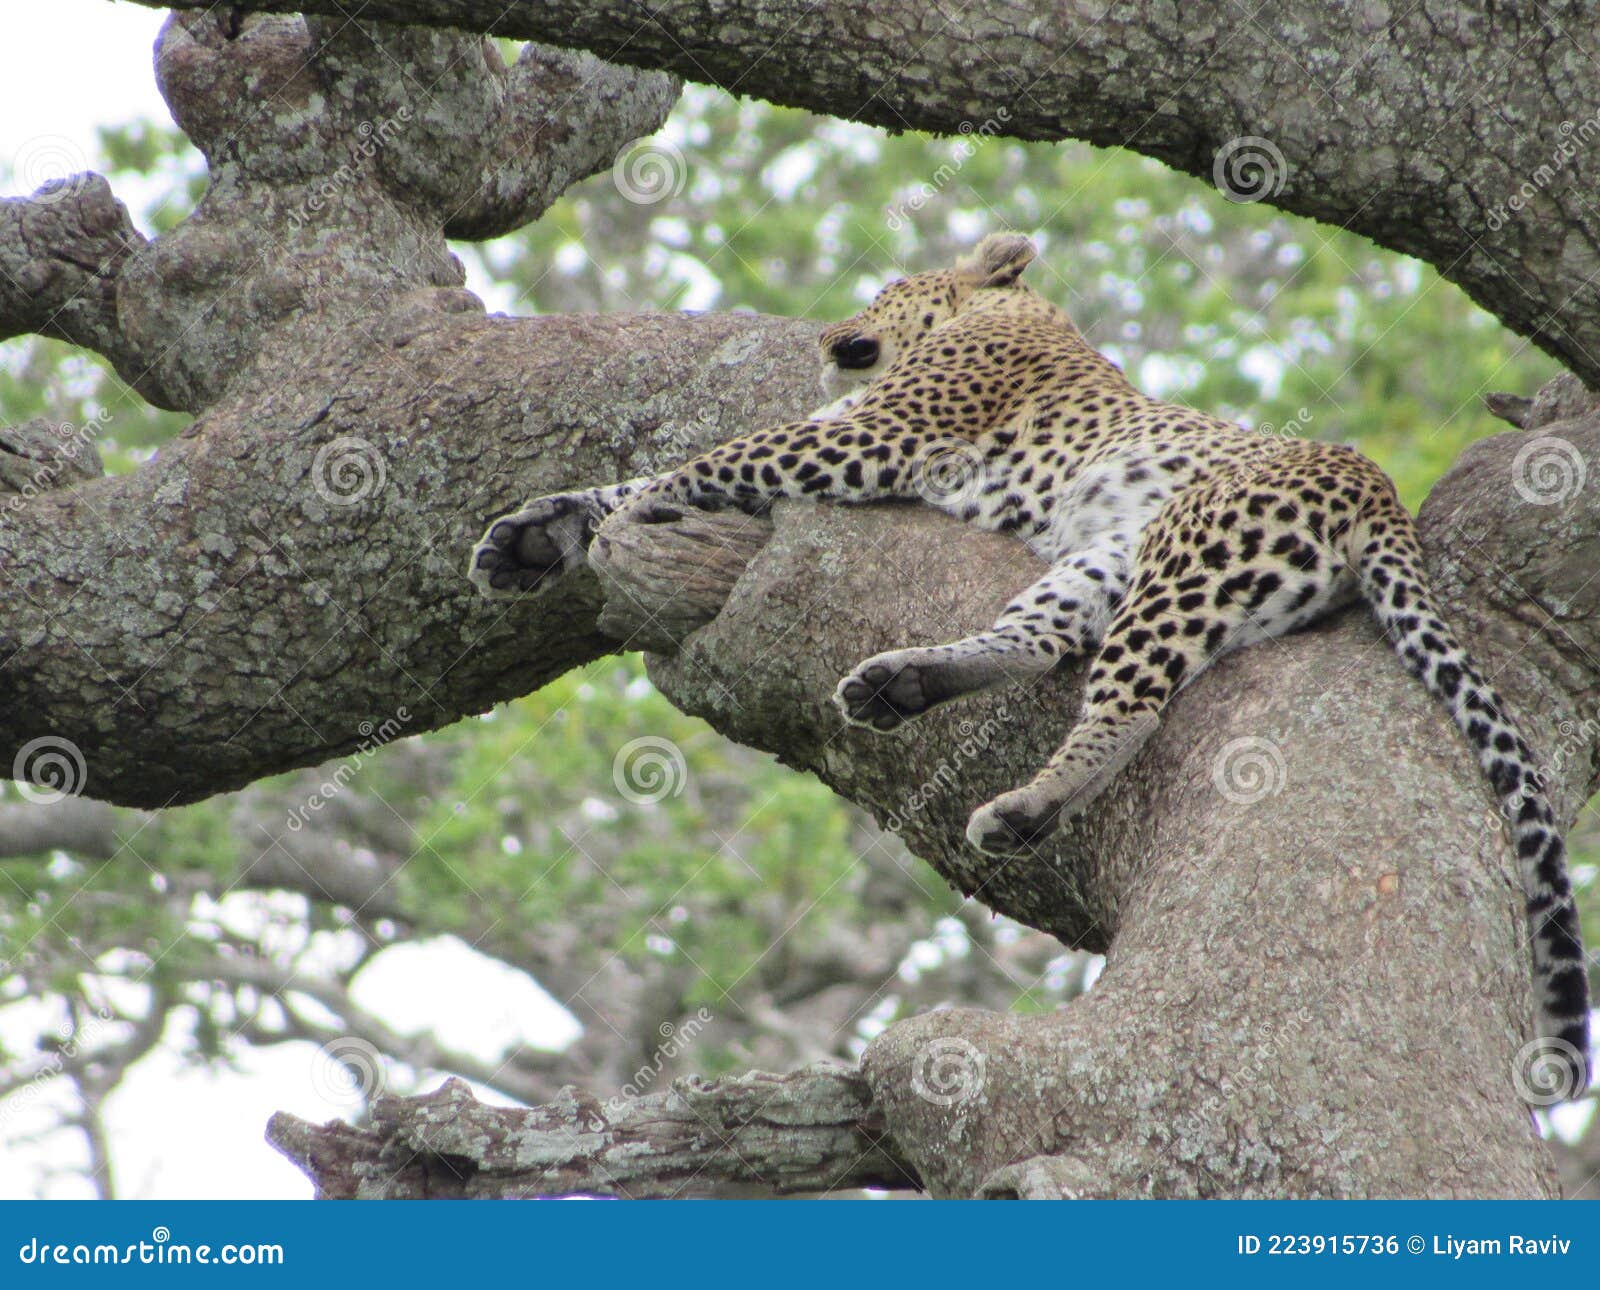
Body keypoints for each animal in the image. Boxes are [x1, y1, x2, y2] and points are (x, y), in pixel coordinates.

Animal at [468, 232, 1590, 1096]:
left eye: (883, 289)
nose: (831, 337)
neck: (1012, 310)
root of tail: (1378, 497)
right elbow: (657, 480)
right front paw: (538, 532)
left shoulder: (872, 436)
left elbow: (705, 463)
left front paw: (596, 509)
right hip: (1108, 558)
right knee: (1041, 637)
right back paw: (901, 685)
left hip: (1185, 556)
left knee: (1131, 700)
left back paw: (1023, 806)